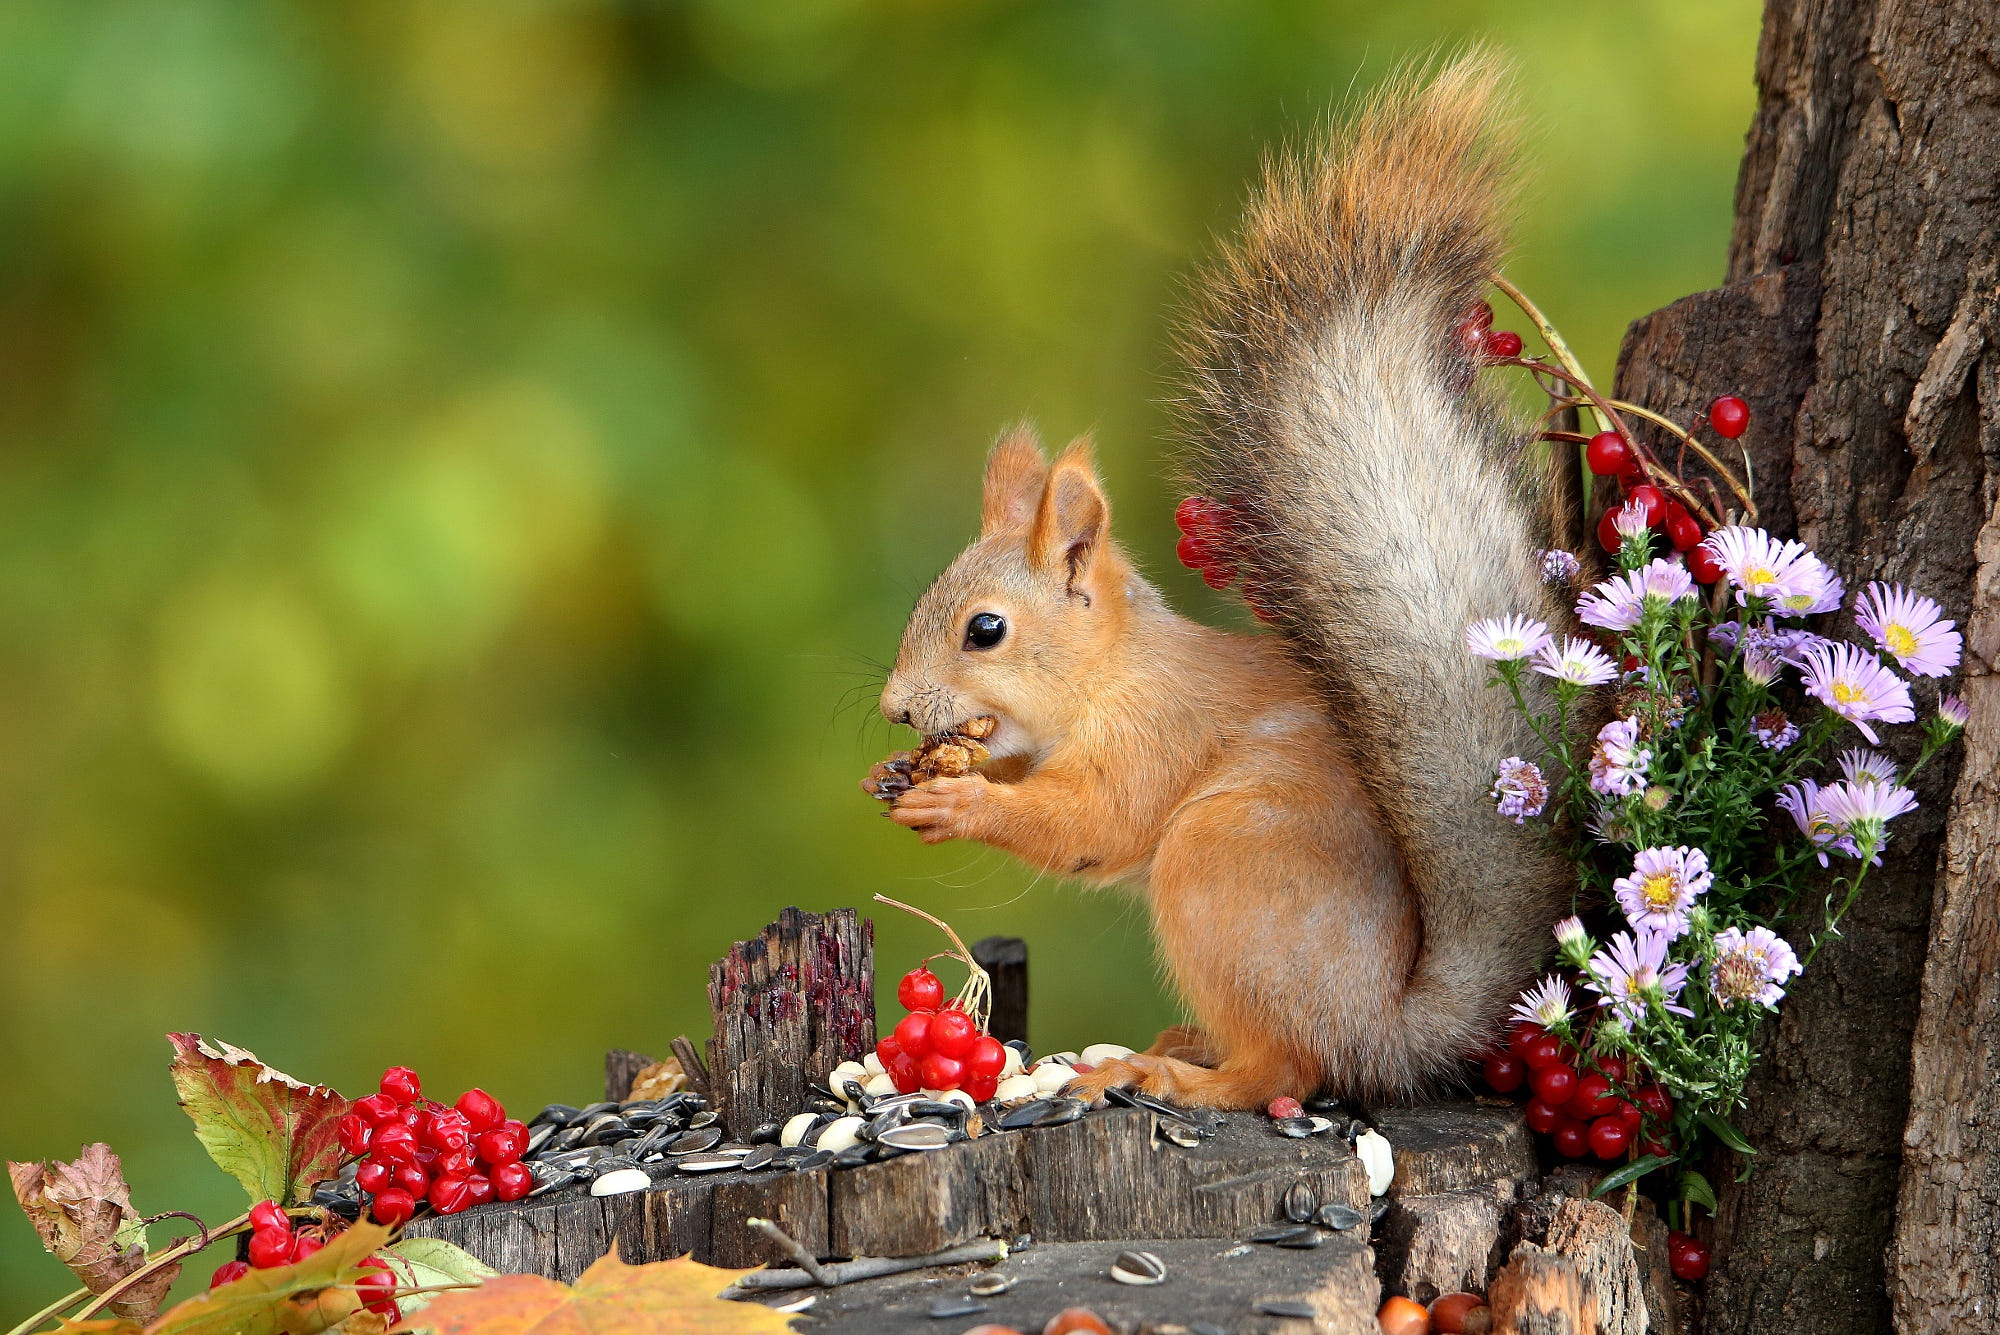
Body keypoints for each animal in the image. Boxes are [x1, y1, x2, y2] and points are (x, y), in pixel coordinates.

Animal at [869, 54, 1572, 1109]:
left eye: (983, 629)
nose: (897, 710)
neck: (1108, 674)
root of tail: (1384, 1026)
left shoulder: (1153, 733)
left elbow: (1092, 819)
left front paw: (962, 804)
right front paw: (907, 775)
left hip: (1220, 863)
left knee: (1284, 1063)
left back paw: (1173, 1074)